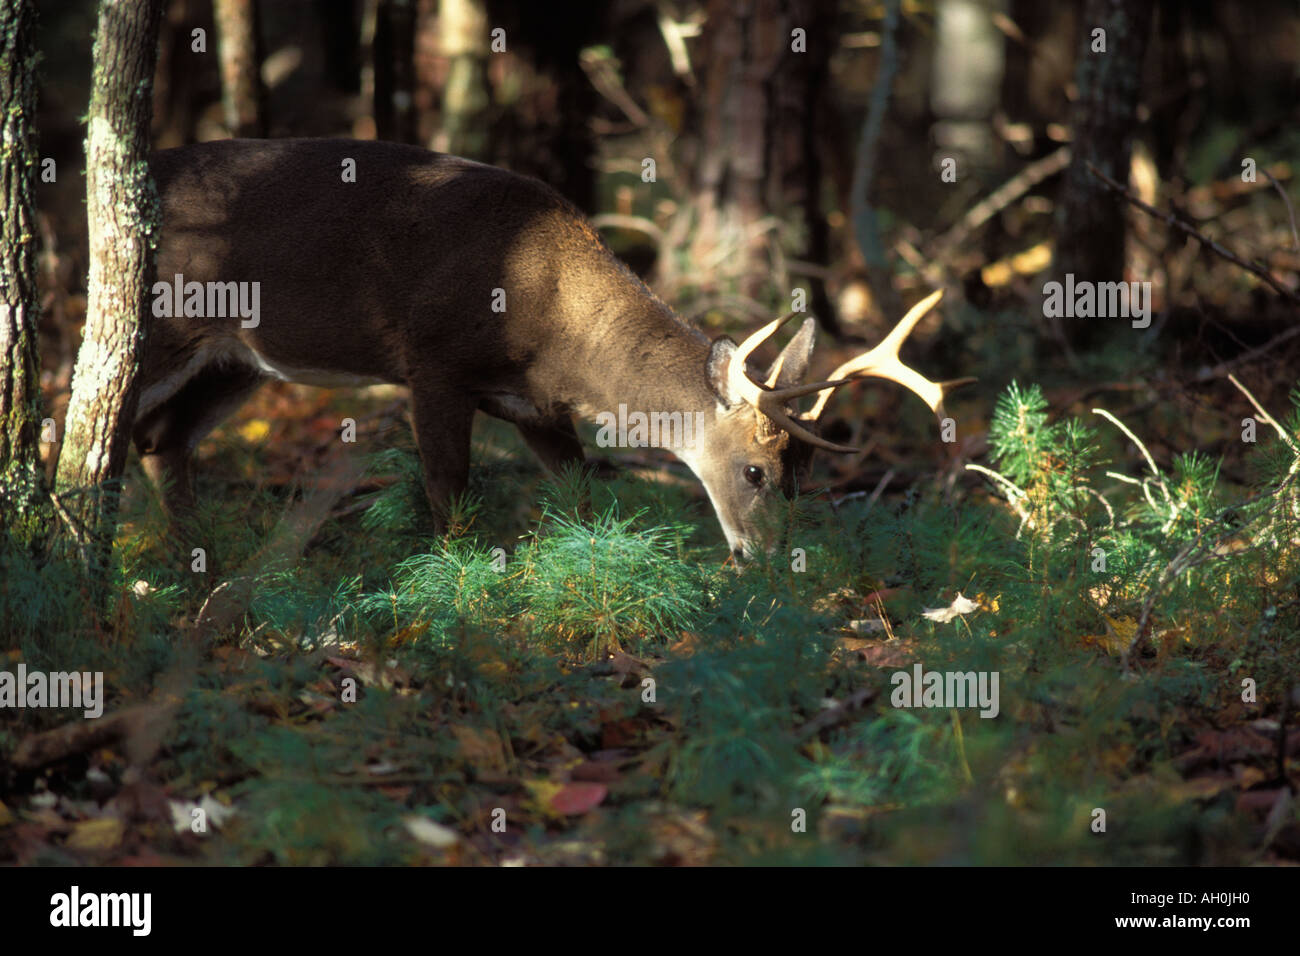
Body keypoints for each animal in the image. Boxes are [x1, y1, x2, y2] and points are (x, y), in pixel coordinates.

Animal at [135, 138, 963, 560]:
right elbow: (448, 489)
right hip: (167, 324)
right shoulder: (432, 363)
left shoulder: (536, 404)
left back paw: (191, 555)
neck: (551, 315)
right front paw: (460, 586)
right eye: (755, 470)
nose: (770, 557)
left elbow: (578, 491)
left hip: (237, 359)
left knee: (161, 439)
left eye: (807, 474)